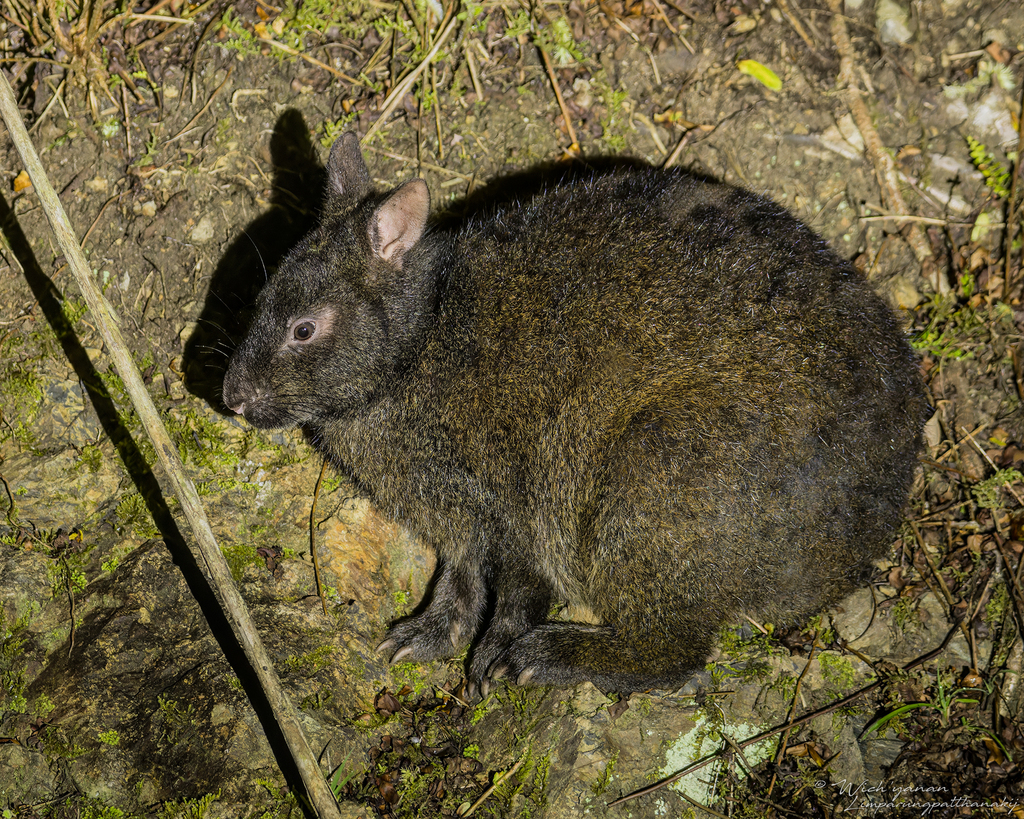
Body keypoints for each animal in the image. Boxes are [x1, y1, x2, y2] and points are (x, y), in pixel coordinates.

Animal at [222, 132, 926, 695]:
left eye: (305, 329)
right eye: (260, 295)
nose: (231, 396)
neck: (419, 344)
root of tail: (868, 537)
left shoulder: (519, 508)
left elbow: (513, 594)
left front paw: (487, 666)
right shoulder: (465, 523)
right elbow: (460, 585)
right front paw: (421, 639)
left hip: (654, 484)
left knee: (676, 653)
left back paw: (546, 656)